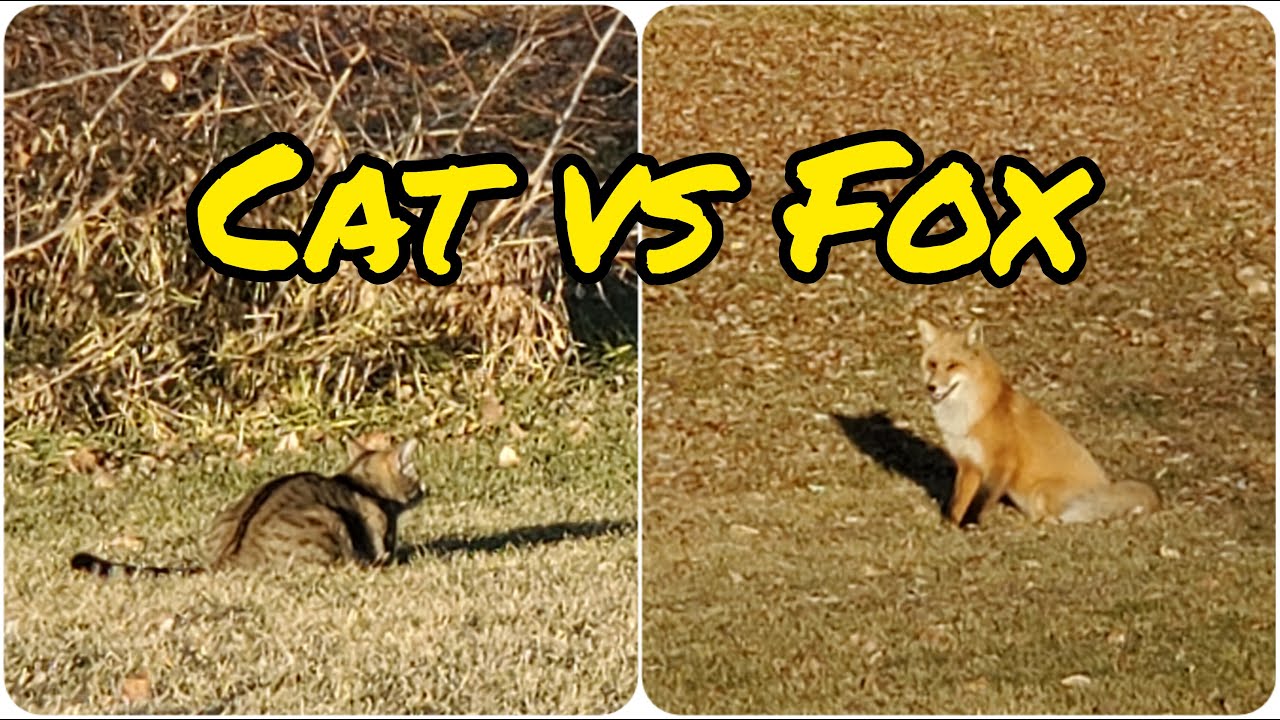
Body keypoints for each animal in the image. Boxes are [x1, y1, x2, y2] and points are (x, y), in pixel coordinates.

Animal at [70, 437, 425, 577]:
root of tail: (227, 557)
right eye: (416, 477)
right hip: (329, 519)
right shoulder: (381, 545)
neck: (359, 482)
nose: (426, 489)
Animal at [916, 319, 1160, 526]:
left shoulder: (1002, 463)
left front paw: (969, 525)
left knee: (1057, 519)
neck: (973, 416)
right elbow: (958, 502)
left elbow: (980, 501)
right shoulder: (969, 465)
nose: (931, 387)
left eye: (952, 365)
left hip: (1039, 491)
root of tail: (1105, 486)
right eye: (932, 364)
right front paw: (951, 524)